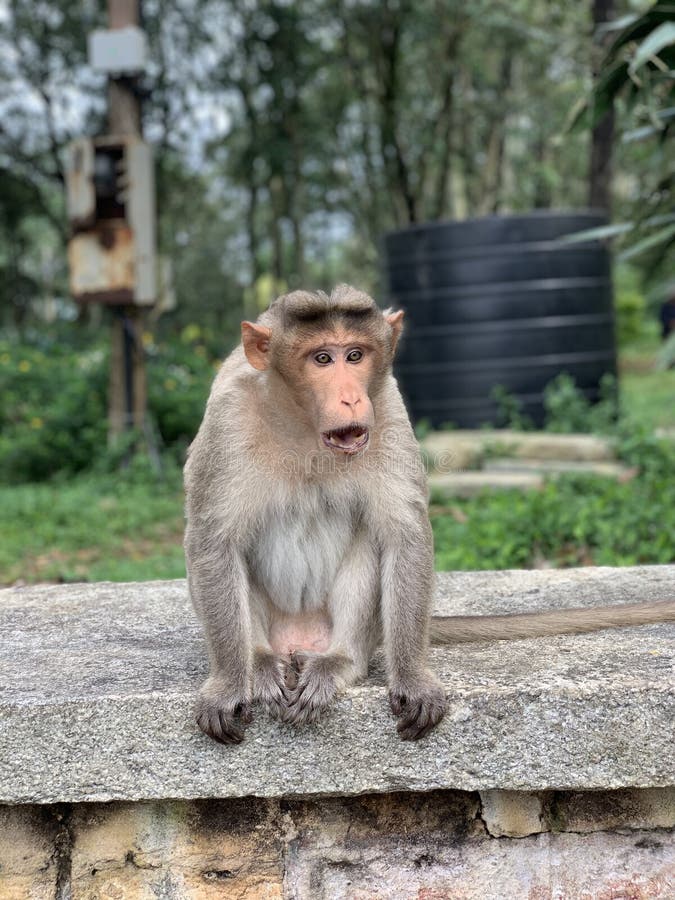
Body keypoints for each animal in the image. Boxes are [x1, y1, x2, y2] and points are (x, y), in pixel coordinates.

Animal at [184, 284, 675, 745]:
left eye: (355, 355)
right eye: (322, 358)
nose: (351, 399)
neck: (304, 430)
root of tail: (300, 640)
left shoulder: (387, 408)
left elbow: (405, 535)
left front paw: (412, 678)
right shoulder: (229, 418)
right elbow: (213, 541)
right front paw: (229, 686)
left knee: (372, 541)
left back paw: (337, 662)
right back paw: (259, 662)